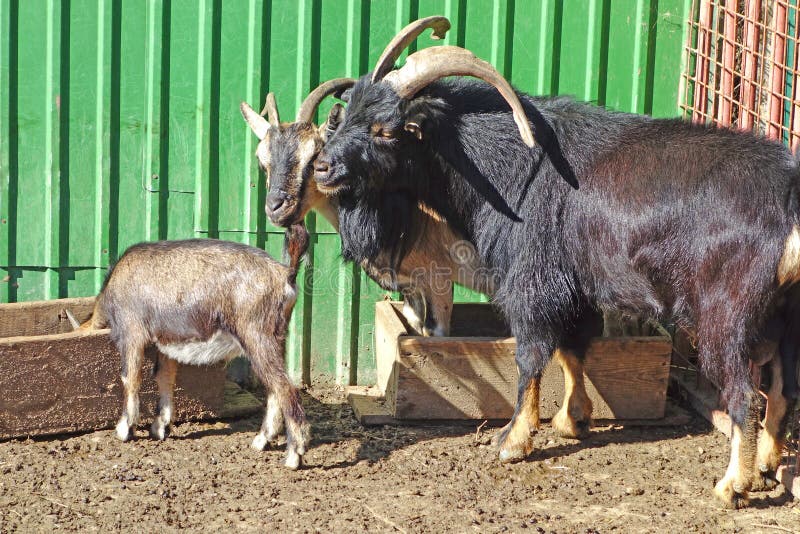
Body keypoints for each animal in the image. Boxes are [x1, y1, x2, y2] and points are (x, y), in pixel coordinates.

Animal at [85, 224, 311, 469]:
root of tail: (285, 274)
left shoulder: (131, 332)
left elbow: (130, 378)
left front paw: (125, 429)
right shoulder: (166, 343)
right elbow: (164, 377)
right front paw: (160, 427)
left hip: (257, 336)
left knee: (286, 389)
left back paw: (293, 455)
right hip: (278, 338)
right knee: (274, 388)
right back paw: (262, 441)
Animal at [312, 16, 800, 507]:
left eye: (386, 129)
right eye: (347, 112)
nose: (322, 167)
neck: (508, 164)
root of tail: (789, 201)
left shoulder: (533, 280)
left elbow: (531, 354)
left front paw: (512, 440)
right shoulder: (574, 285)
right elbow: (573, 349)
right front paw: (573, 420)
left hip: (726, 315)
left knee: (745, 395)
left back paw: (733, 485)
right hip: (785, 316)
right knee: (783, 390)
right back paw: (767, 466)